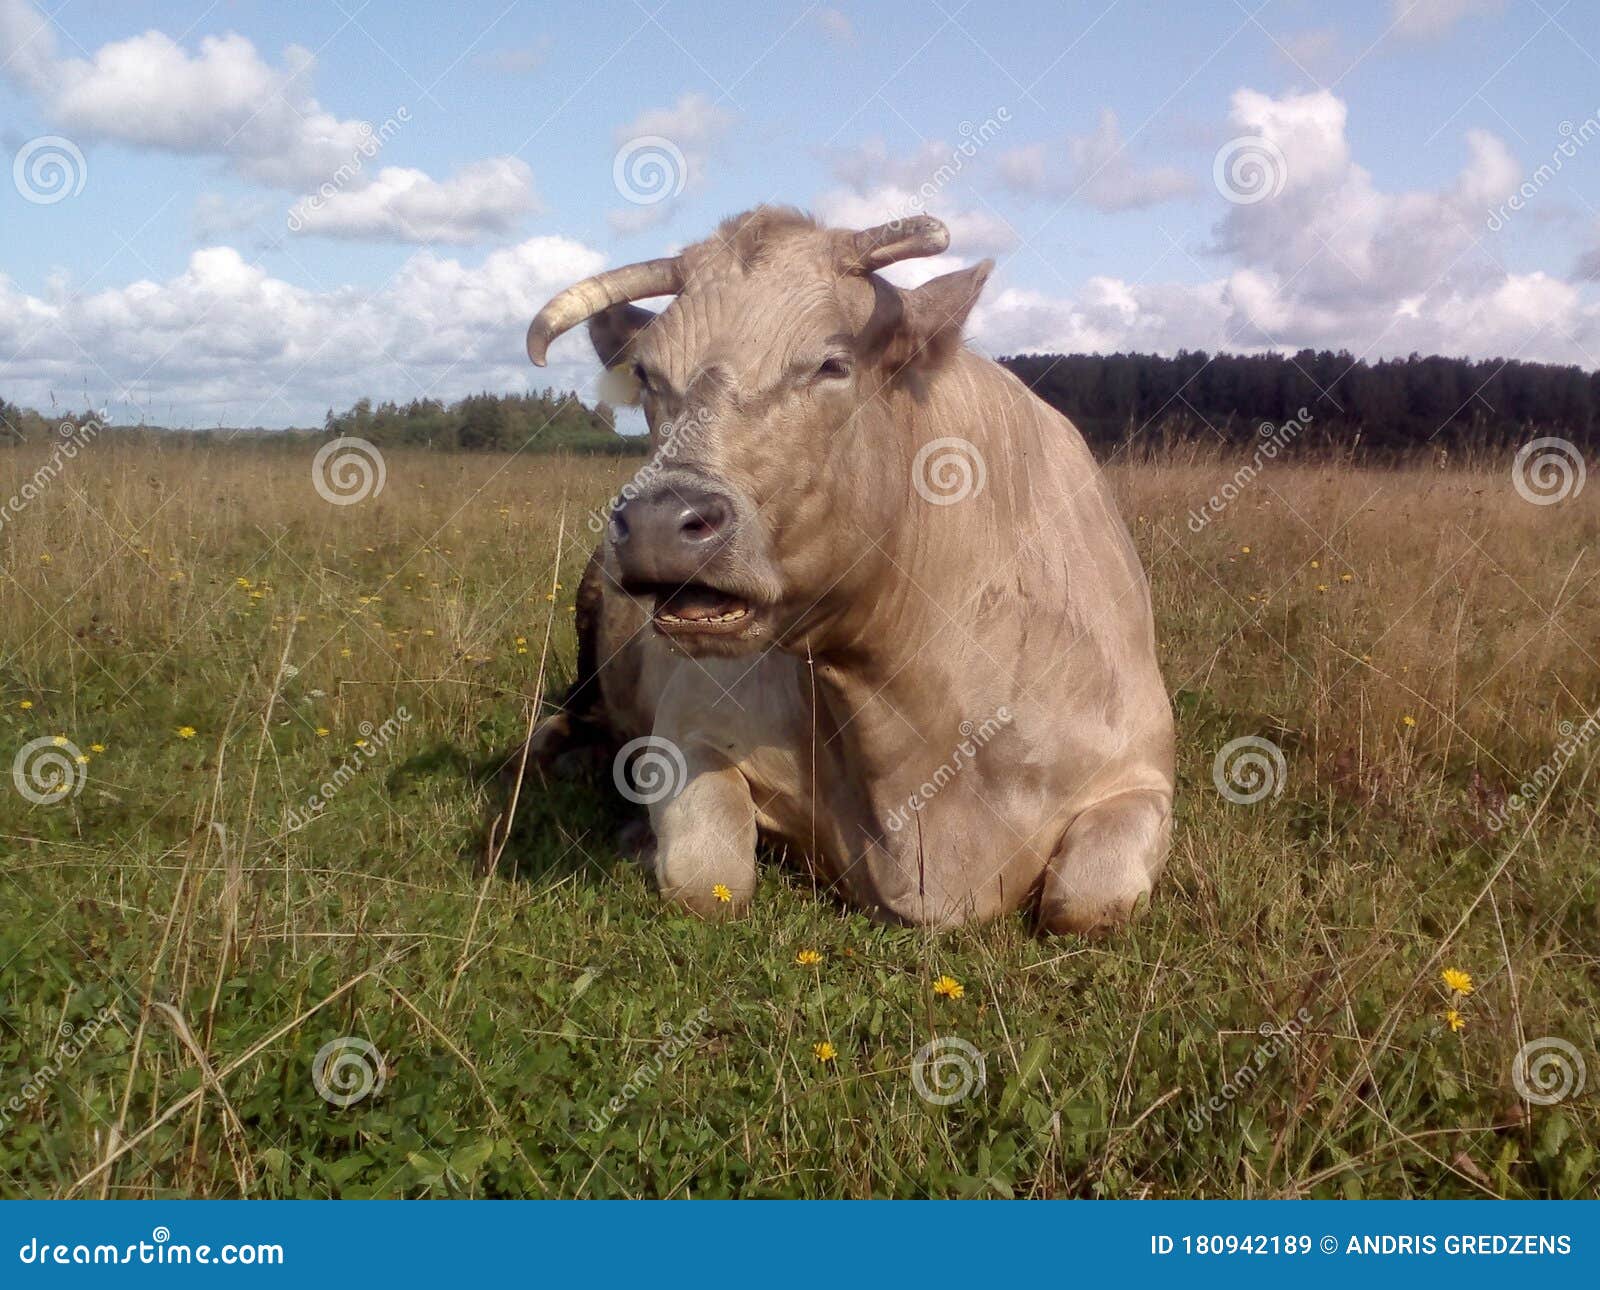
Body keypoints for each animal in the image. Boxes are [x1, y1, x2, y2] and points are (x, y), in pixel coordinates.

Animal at [523, 206, 1174, 934]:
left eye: (833, 364)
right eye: (646, 376)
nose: (662, 523)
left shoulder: (1142, 774)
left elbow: (1086, 902)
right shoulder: (691, 726)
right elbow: (706, 878)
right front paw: (641, 838)